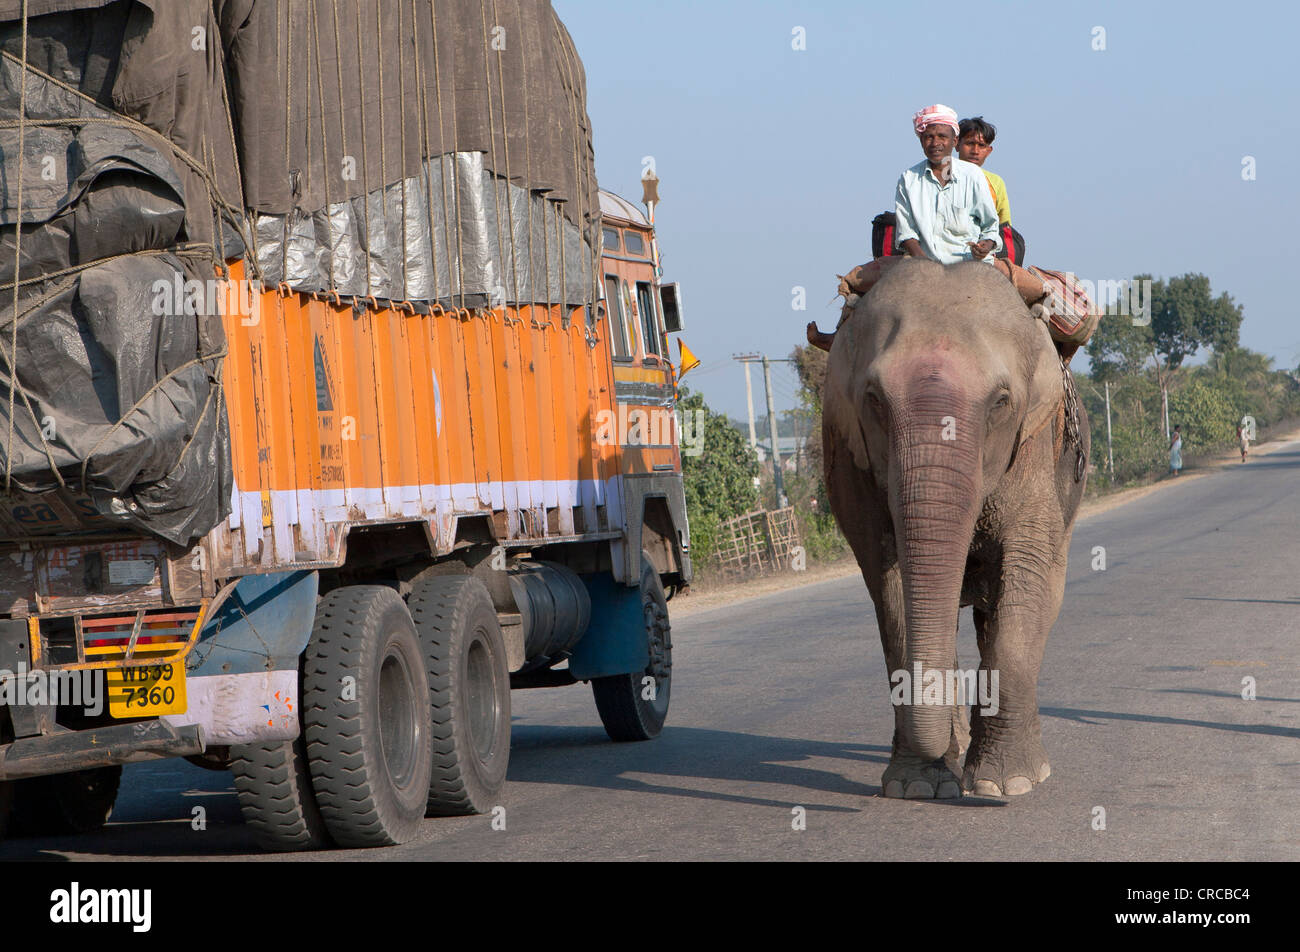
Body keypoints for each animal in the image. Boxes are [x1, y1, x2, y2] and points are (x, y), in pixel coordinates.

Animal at [815, 258, 1090, 799]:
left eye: (1001, 401)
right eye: (874, 400)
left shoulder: (1033, 445)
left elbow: (1029, 576)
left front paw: (1006, 785)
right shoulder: (853, 464)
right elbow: (892, 593)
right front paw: (916, 786)